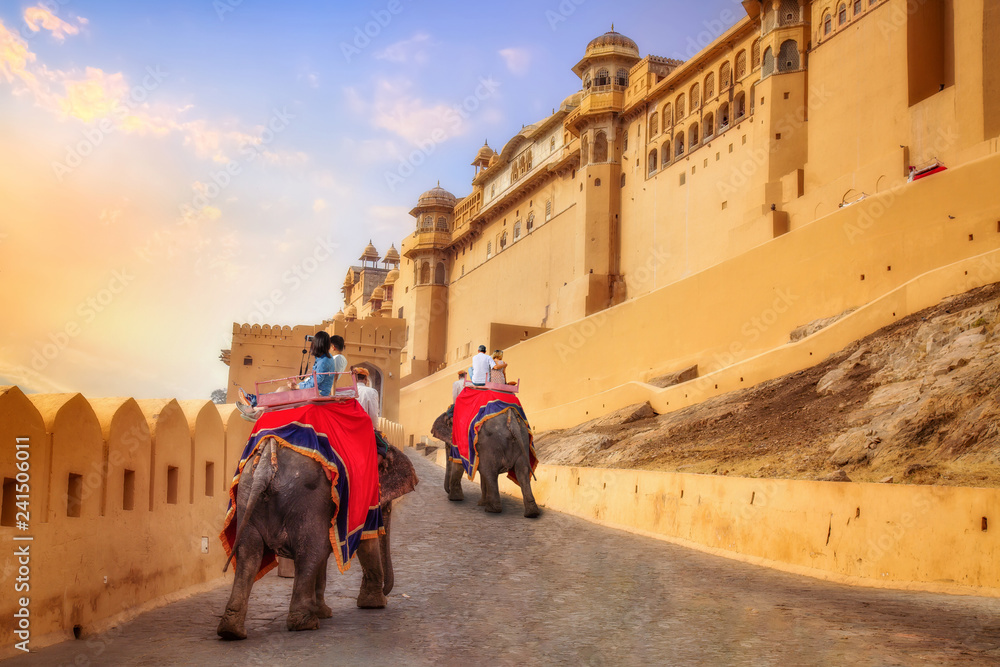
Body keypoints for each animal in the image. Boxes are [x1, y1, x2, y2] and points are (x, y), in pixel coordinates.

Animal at [217, 440, 417, 640]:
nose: (386, 591)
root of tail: (267, 461)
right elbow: (365, 540)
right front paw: (374, 604)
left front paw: (325, 612)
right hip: (306, 500)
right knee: (309, 554)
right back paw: (305, 623)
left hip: (247, 496)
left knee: (249, 555)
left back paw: (231, 631)